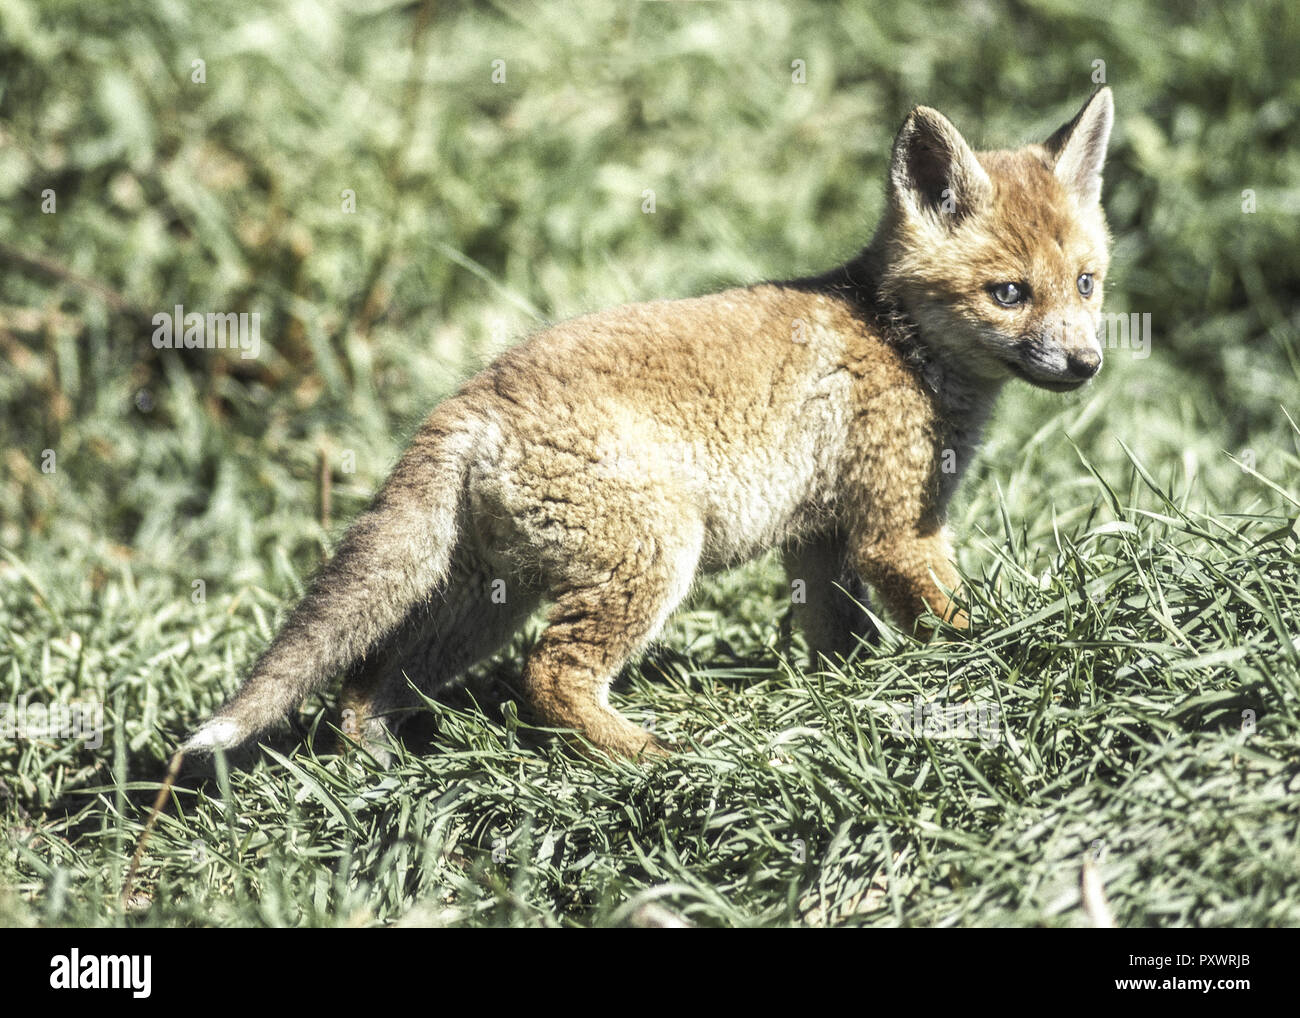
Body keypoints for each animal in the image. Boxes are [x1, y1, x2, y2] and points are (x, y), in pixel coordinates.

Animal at [184, 89, 1114, 762]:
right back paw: (649, 758)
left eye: (1086, 283)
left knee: (369, 684)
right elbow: (957, 621)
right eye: (1009, 294)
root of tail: (474, 397)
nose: (1086, 364)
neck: (896, 337)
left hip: (491, 599)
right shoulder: (895, 531)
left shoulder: (821, 537)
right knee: (549, 677)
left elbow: (837, 640)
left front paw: (843, 698)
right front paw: (1003, 654)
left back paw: (382, 778)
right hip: (652, 558)